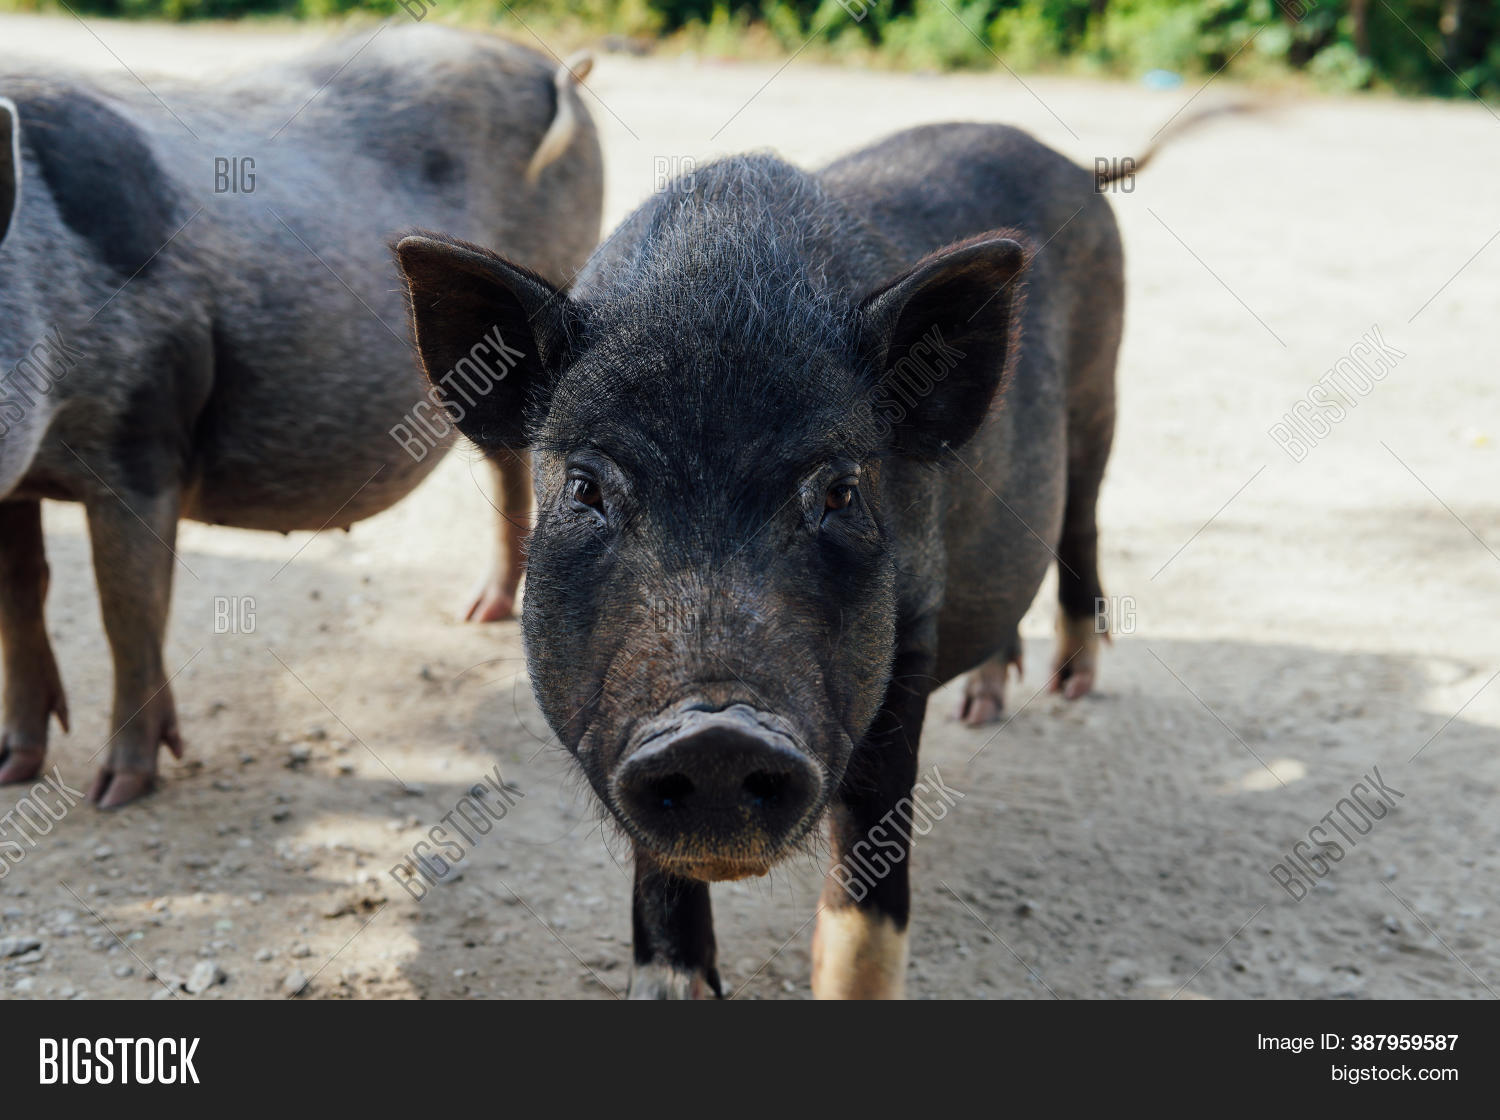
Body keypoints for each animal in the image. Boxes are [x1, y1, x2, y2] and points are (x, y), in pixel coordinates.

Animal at [0, 26, 603, 807]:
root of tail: (547, 66)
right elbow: (22, 594)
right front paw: (11, 768)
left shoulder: (143, 434)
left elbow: (126, 612)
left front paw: (115, 792)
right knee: (508, 464)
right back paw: (482, 612)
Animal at [396, 119, 1139, 998]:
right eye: (584, 487)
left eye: (842, 490)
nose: (719, 736)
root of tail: (1074, 166)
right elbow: (661, 890)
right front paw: (674, 984)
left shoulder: (914, 614)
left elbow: (872, 868)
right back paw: (985, 705)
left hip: (1100, 398)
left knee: (1082, 528)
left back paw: (1071, 687)